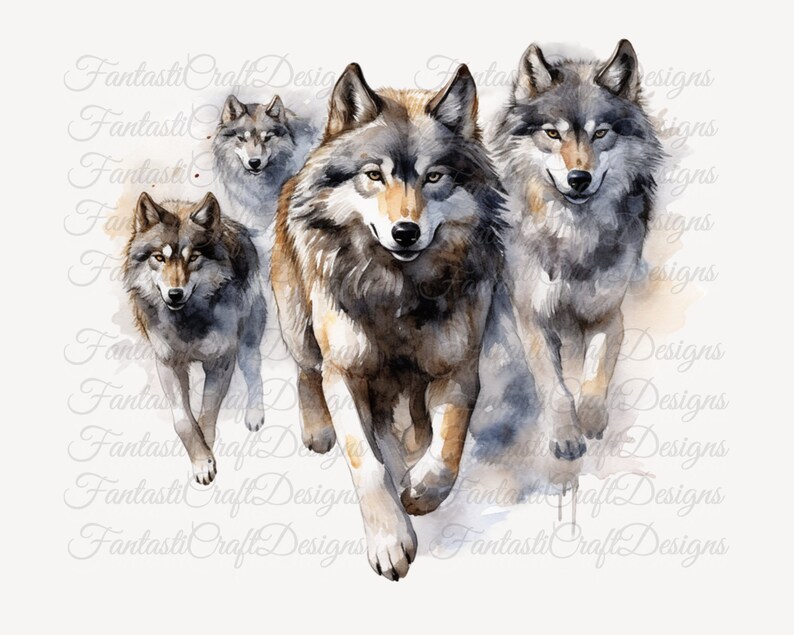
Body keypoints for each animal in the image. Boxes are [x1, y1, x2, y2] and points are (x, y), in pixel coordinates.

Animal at [123, 192, 267, 484]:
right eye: (160, 257)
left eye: (193, 258)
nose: (175, 294)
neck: (187, 321)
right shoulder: (168, 363)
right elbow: (183, 421)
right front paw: (202, 459)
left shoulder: (221, 361)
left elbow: (207, 413)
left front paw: (206, 455)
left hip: (248, 343)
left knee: (254, 373)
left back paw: (255, 414)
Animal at [271, 63, 504, 580]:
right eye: (374, 175)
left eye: (434, 176)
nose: (406, 231)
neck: (395, 292)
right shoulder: (346, 372)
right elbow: (368, 463)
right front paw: (390, 540)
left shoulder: (459, 370)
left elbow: (448, 449)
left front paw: (421, 491)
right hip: (297, 323)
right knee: (306, 370)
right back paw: (318, 431)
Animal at [490, 39, 663, 461]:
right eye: (553, 133)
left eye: (600, 133)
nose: (579, 178)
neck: (573, 237)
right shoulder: (531, 318)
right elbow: (554, 387)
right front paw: (565, 435)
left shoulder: (607, 314)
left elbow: (596, 371)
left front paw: (590, 418)